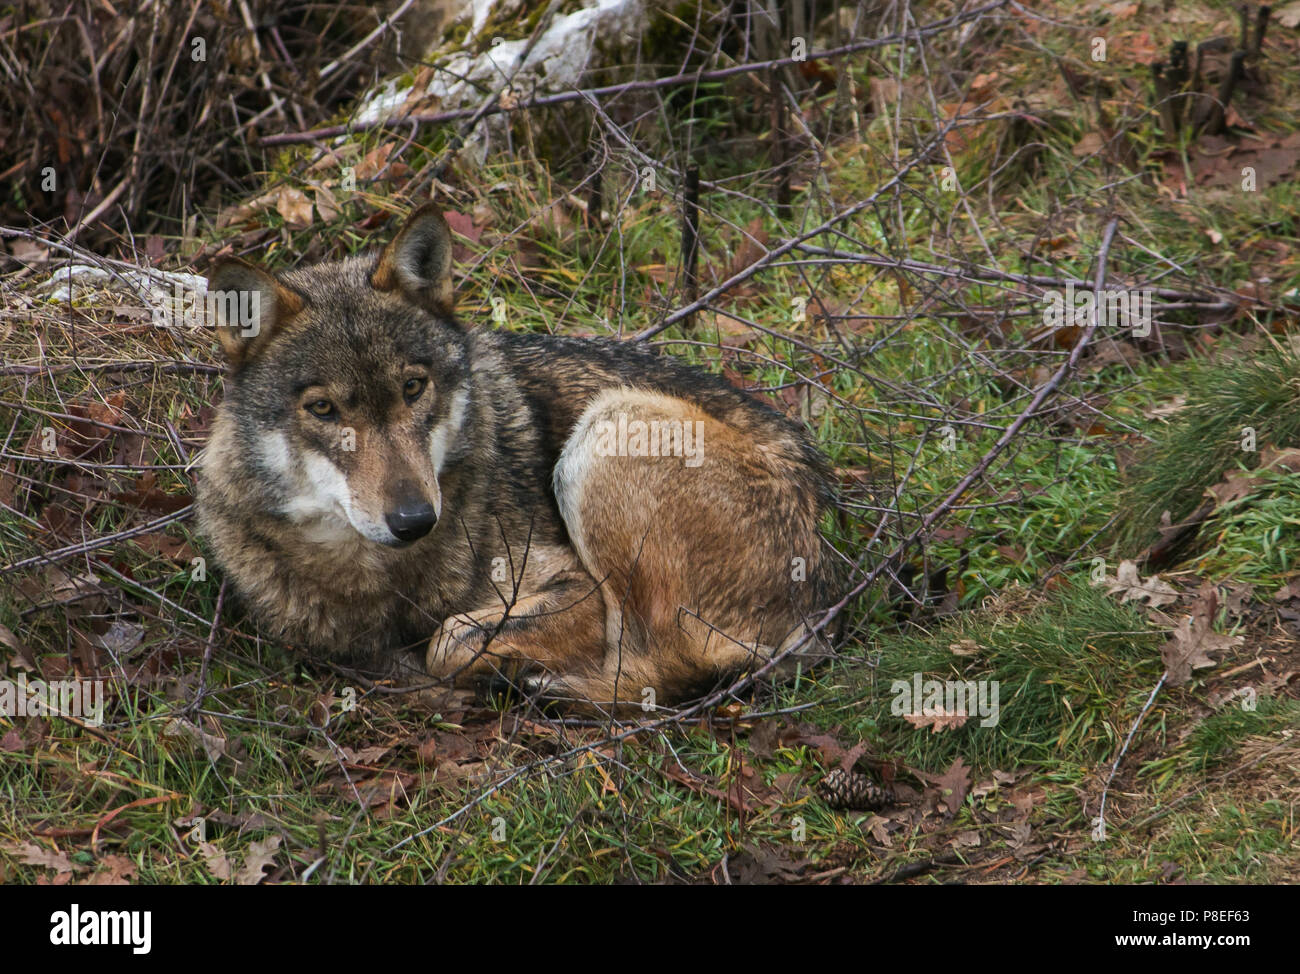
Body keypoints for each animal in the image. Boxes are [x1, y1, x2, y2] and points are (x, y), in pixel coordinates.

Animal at [197, 204, 841, 710]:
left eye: (413, 388)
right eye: (324, 409)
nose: (414, 520)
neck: (374, 579)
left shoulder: (575, 588)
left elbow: (448, 641)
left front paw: (489, 664)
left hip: (607, 428)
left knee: (660, 669)